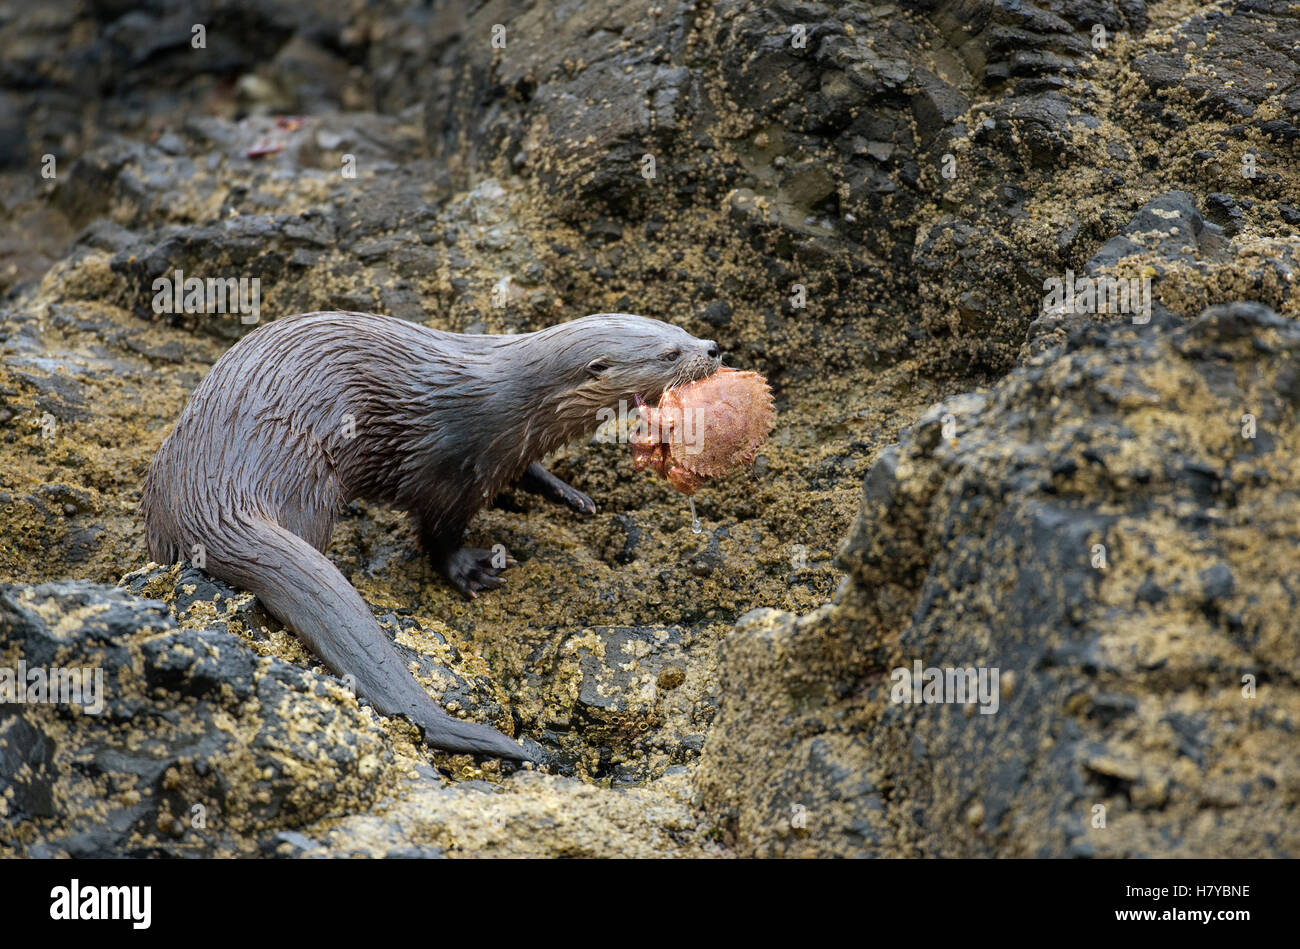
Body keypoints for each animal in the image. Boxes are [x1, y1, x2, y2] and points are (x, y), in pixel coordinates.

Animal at [142, 311, 720, 760]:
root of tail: (217, 498)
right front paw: (472, 571)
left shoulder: (507, 455)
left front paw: (571, 493)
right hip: (307, 479)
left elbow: (528, 472)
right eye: (670, 353)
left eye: (680, 326)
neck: (514, 406)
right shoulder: (451, 466)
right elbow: (438, 532)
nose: (713, 348)